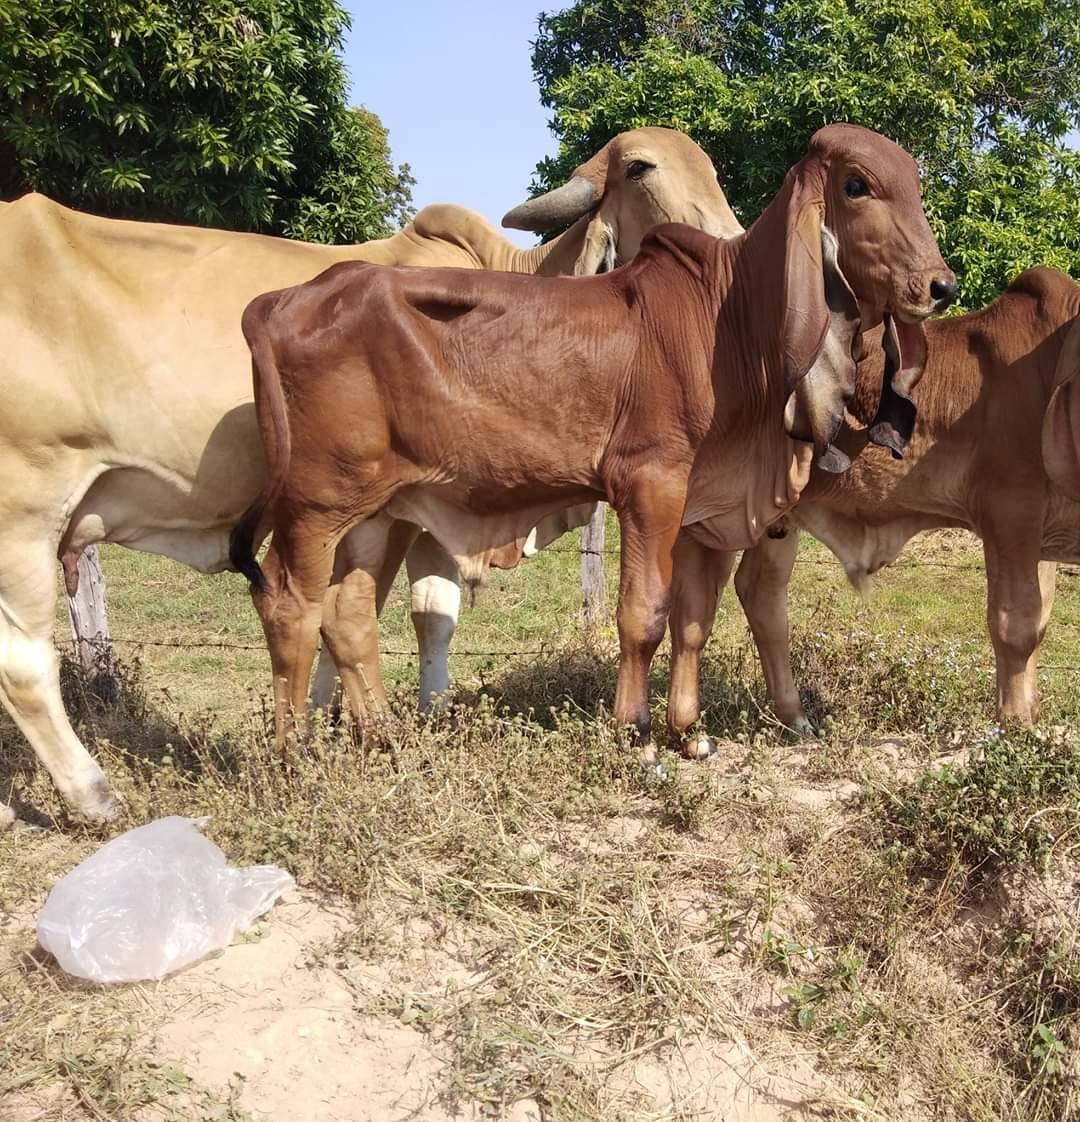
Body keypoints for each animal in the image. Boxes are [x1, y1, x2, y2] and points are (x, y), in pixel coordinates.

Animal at [0, 128, 743, 827]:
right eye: (641, 169)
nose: (735, 244)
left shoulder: (404, 519)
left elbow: (389, 618)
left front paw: (380, 723)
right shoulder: (417, 516)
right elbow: (396, 616)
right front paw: (369, 724)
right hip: (33, 513)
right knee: (30, 662)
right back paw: (99, 794)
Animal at [229, 124, 956, 760]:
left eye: (914, 184)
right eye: (858, 185)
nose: (941, 285)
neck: (728, 316)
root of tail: (282, 301)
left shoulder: (702, 506)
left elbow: (694, 617)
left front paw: (689, 734)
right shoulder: (650, 484)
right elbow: (645, 613)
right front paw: (637, 734)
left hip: (375, 509)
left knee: (346, 613)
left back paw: (381, 737)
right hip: (316, 505)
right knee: (291, 606)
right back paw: (296, 754)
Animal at [662, 267, 1080, 754]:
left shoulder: (1039, 535)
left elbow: (1040, 620)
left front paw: (1032, 719)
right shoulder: (1009, 513)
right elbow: (1016, 625)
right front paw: (1017, 728)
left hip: (773, 519)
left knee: (760, 593)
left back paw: (795, 717)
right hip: (709, 516)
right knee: (691, 609)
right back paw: (688, 731)